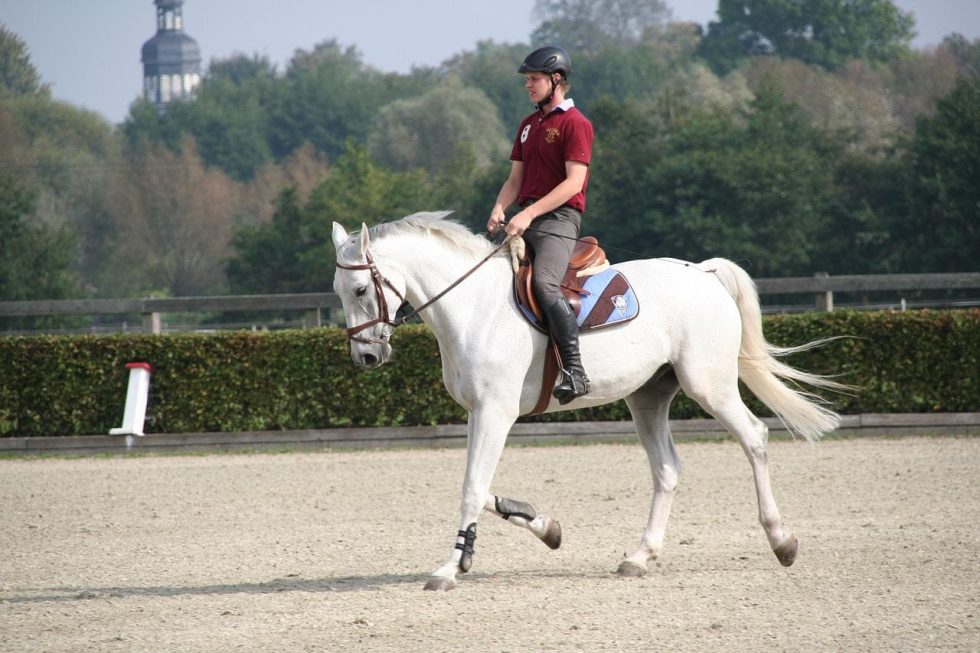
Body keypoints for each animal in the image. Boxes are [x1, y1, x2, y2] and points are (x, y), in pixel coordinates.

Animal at [331, 211, 843, 592]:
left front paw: (451, 567)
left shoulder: (496, 412)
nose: (366, 356)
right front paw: (546, 528)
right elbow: (479, 484)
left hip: (709, 385)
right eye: (339, 292)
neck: (474, 307)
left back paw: (782, 541)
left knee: (754, 438)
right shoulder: (480, 413)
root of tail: (702, 272)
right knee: (667, 469)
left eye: (360, 289)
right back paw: (639, 557)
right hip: (648, 397)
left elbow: (473, 487)